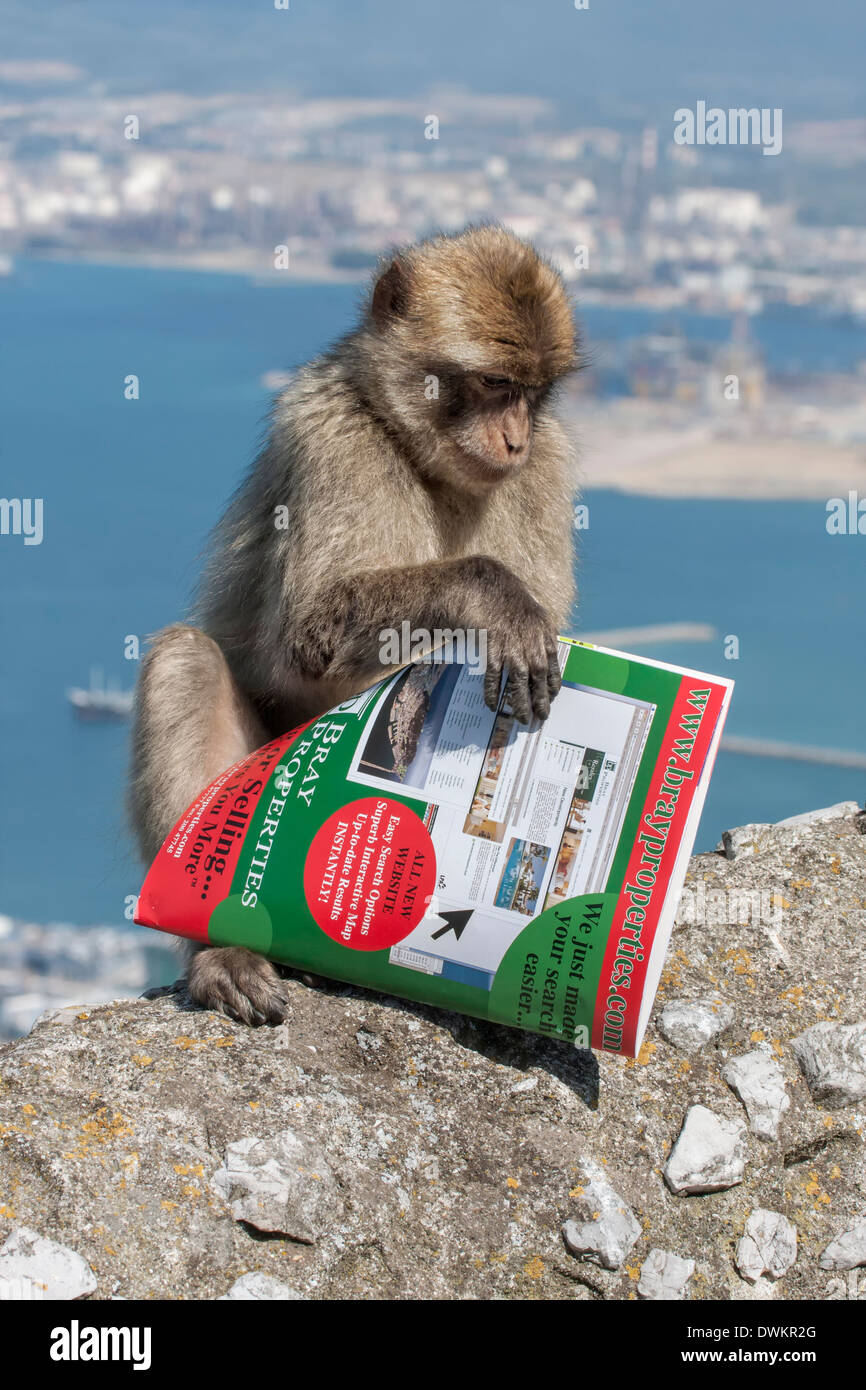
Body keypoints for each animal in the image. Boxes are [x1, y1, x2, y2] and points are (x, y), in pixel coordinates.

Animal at [130, 224, 580, 1026]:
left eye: (533, 394)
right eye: (494, 384)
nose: (515, 439)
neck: (417, 449)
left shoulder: (547, 466)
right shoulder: (330, 432)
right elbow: (308, 632)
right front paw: (495, 598)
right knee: (185, 661)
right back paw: (220, 945)